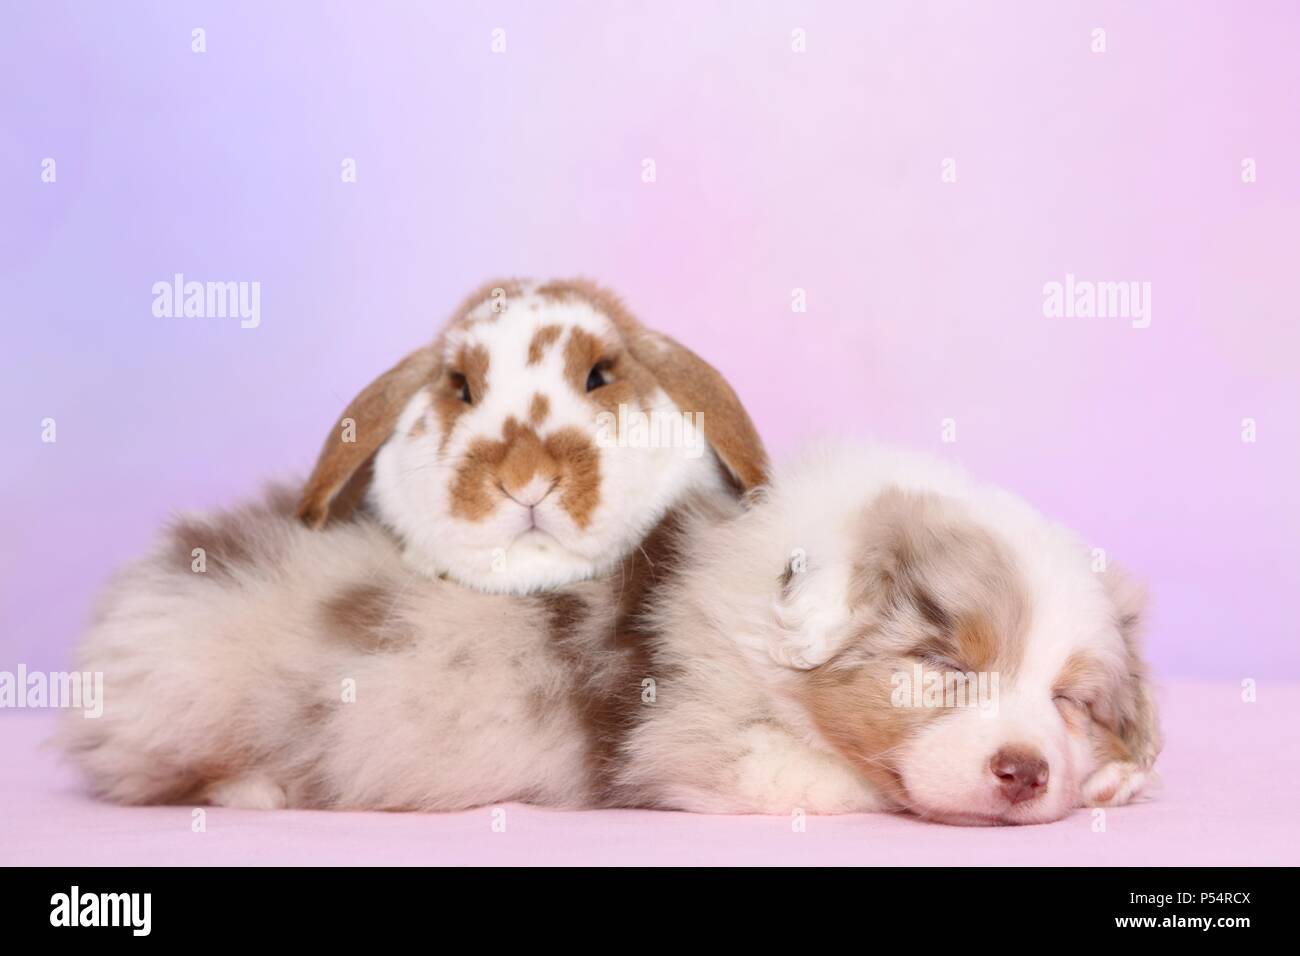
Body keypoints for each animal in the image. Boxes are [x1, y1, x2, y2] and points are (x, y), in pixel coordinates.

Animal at [63, 442, 1158, 823]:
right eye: (940, 665)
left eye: (1071, 699)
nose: (1023, 771)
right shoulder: (699, 744)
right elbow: (858, 783)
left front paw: (1109, 774)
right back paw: (258, 787)